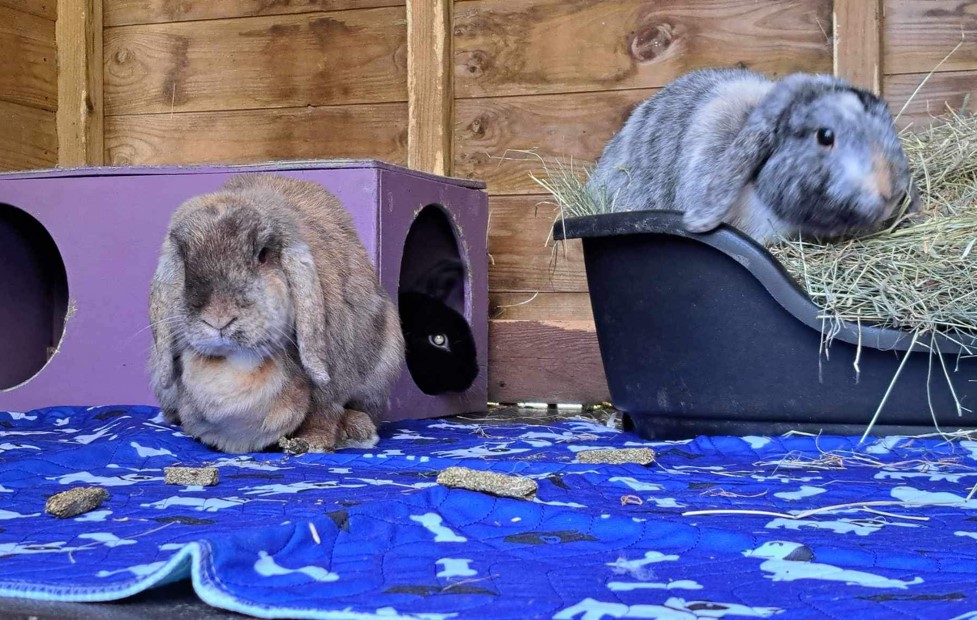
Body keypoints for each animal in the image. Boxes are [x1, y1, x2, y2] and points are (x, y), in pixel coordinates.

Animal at [148, 173, 405, 454]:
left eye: (262, 255)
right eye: (185, 261)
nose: (218, 319)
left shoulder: (333, 378)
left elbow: (325, 409)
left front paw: (313, 442)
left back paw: (357, 429)